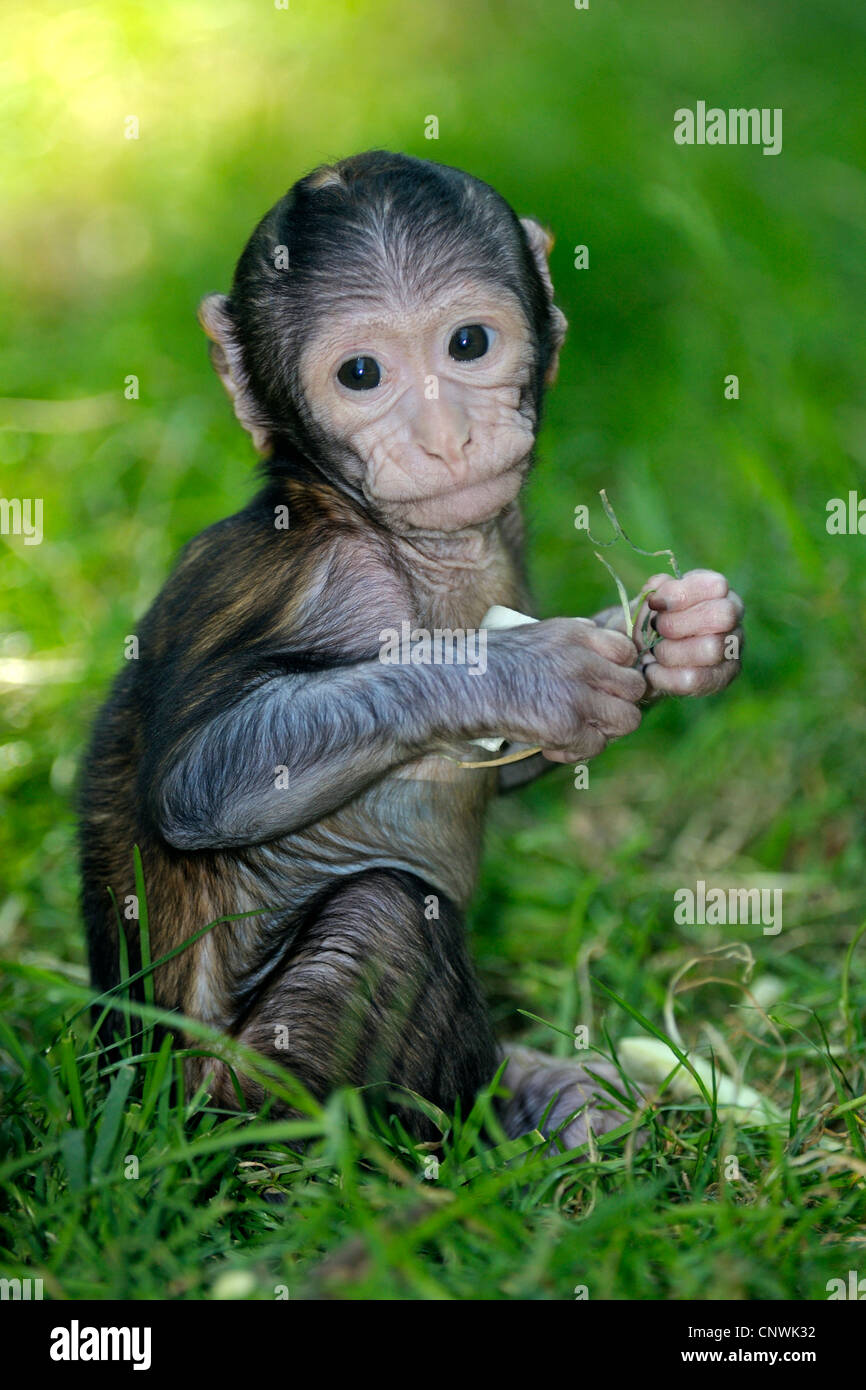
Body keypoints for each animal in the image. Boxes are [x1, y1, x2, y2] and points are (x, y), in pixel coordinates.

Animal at [80, 151, 744, 1151]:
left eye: (468, 344)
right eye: (362, 373)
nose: (445, 436)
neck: (390, 536)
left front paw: (689, 638)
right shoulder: (313, 576)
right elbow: (203, 784)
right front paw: (525, 673)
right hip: (243, 1098)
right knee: (384, 910)